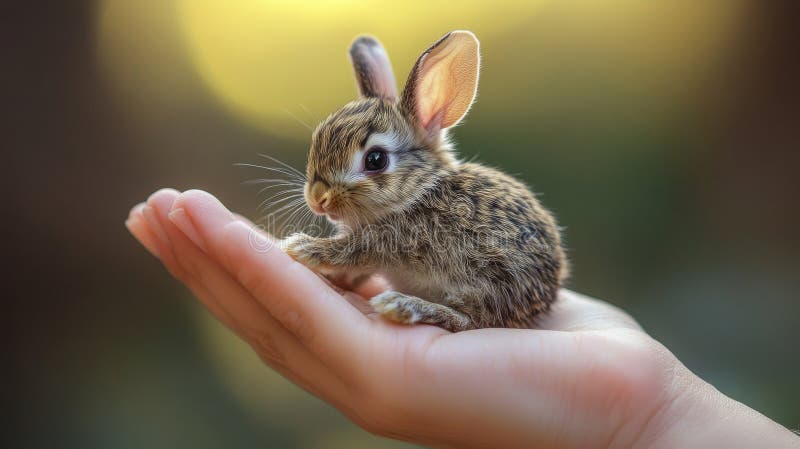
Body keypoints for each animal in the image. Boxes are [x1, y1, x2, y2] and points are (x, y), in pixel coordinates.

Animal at [282, 30, 568, 332]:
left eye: (375, 160)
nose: (317, 198)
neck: (416, 193)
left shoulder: (391, 240)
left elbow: (350, 251)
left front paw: (302, 247)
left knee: (465, 320)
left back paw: (403, 305)